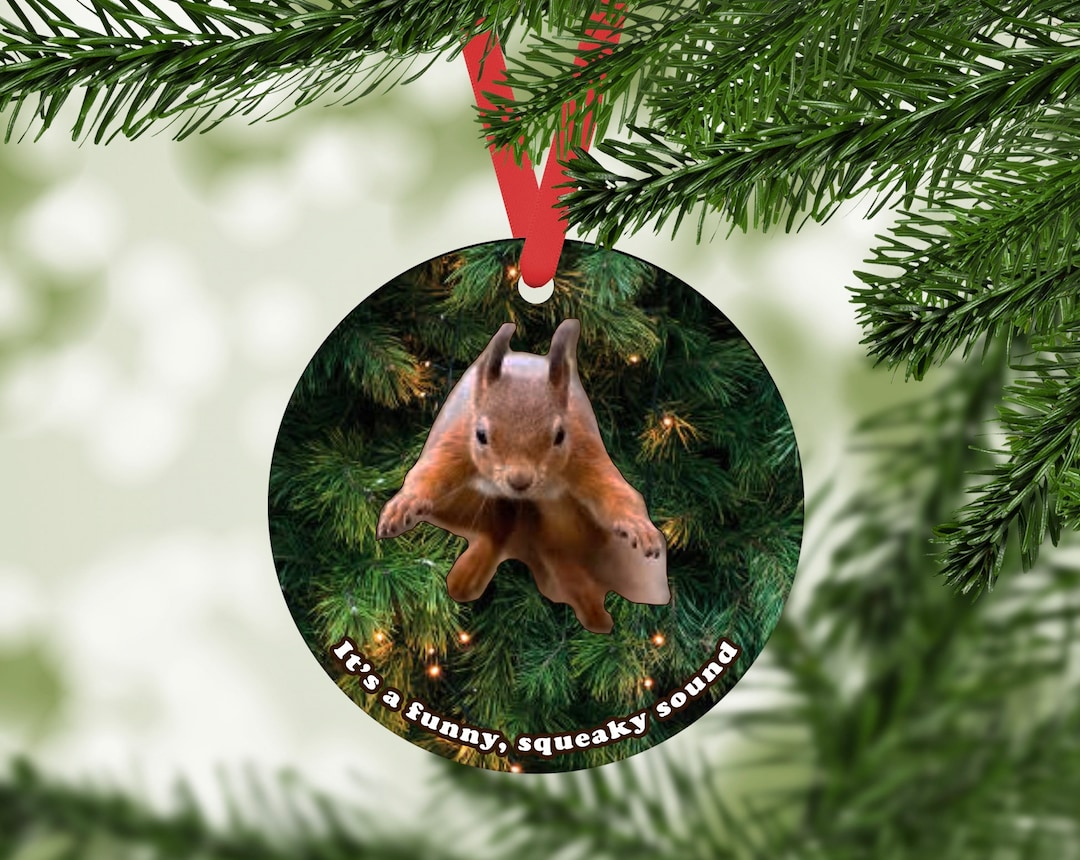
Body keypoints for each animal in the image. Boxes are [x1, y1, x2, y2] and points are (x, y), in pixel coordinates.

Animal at [376, 319, 669, 634]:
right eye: (480, 435)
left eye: (560, 435)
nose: (519, 481)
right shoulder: (457, 444)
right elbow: (428, 474)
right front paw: (404, 505)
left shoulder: (583, 450)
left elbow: (615, 491)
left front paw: (638, 526)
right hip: (470, 505)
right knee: (493, 534)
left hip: (567, 524)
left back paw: (594, 615)